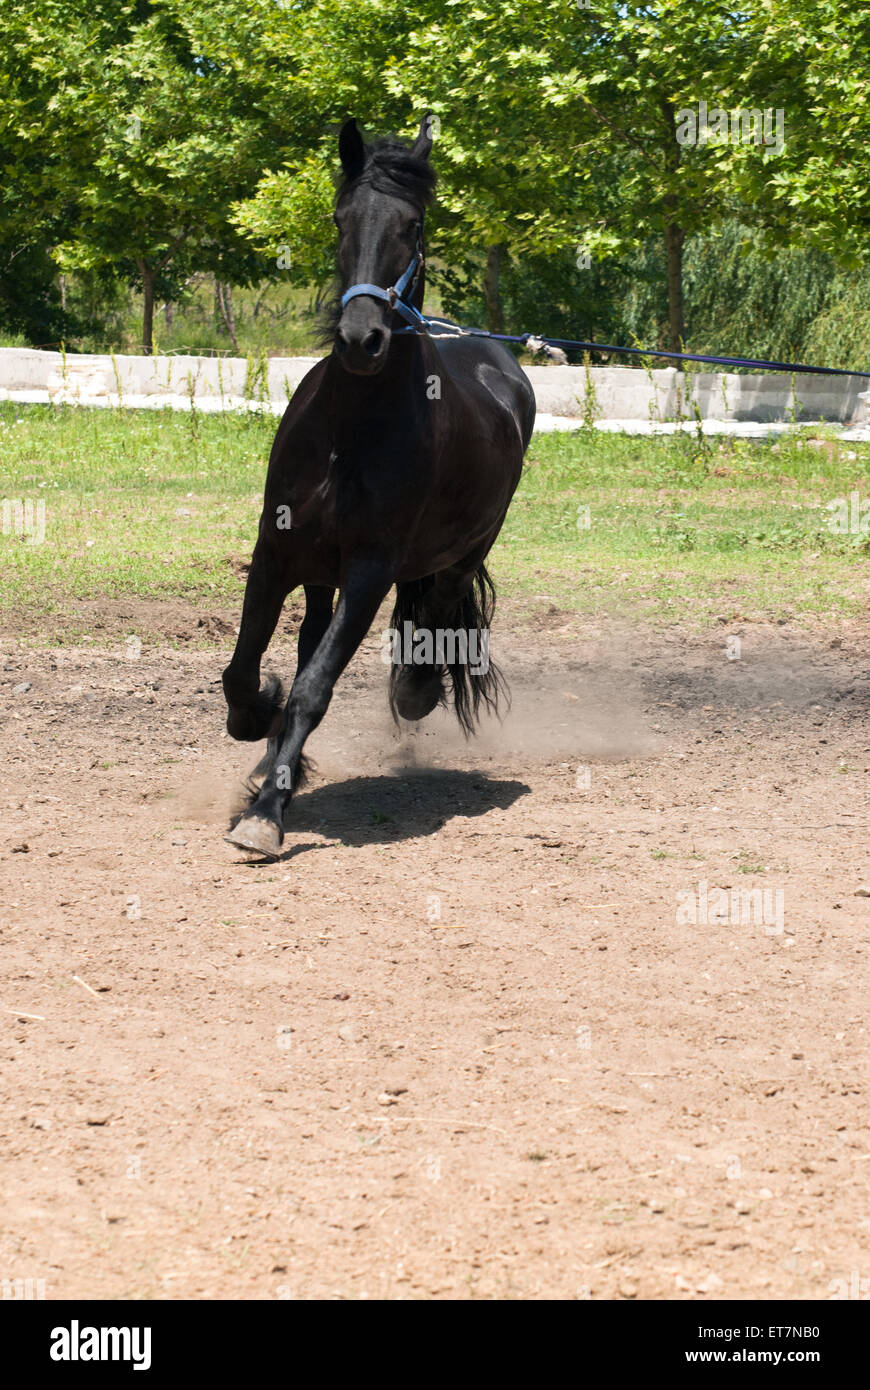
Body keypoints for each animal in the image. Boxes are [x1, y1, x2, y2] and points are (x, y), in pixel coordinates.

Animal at [222, 115, 536, 858]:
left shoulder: (370, 570)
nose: (361, 339)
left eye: (412, 225)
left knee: (438, 609)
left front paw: (265, 817)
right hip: (319, 571)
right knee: (308, 638)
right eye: (340, 219)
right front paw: (256, 725)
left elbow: (314, 687)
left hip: (463, 550)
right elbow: (246, 668)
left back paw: (413, 692)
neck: (352, 431)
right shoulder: (277, 551)